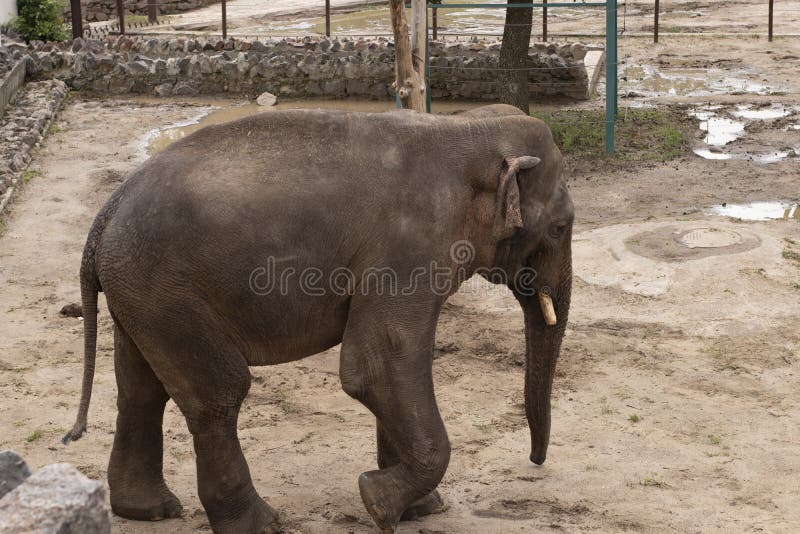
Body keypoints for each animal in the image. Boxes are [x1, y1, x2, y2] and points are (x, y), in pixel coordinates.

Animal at [63, 103, 573, 533]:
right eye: (562, 226)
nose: (535, 461)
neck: (468, 129)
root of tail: (104, 216)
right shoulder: (408, 249)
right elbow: (376, 364)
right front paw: (377, 503)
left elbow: (394, 365)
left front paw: (418, 510)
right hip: (167, 291)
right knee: (218, 393)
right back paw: (262, 524)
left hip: (140, 295)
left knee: (140, 389)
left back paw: (150, 511)